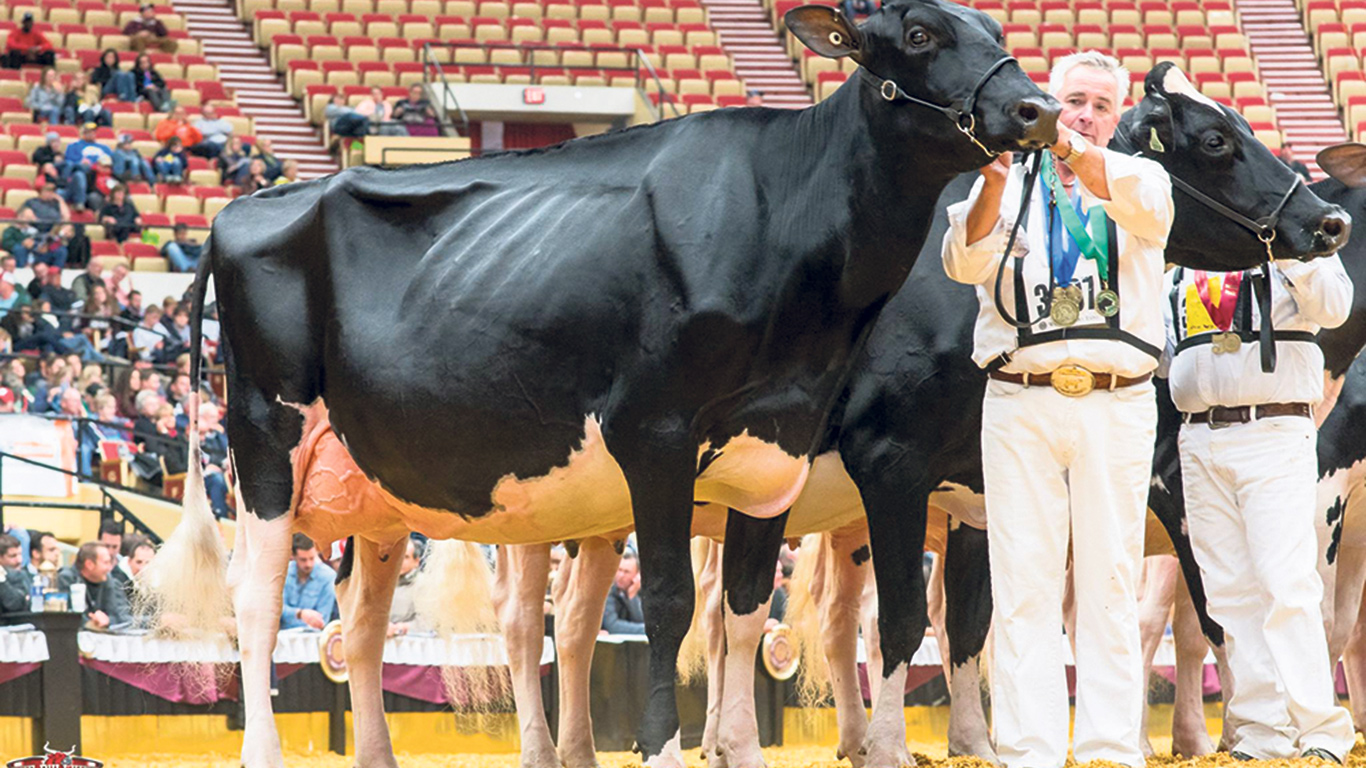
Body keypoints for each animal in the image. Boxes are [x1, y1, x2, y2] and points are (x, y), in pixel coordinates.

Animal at [135, 3, 1062, 767]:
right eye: (920, 34)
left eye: (995, 29)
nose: (1038, 109)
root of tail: (247, 206)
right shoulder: (705, 441)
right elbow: (686, 607)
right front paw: (668, 749)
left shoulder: (777, 456)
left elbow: (752, 613)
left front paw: (742, 749)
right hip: (265, 439)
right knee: (259, 603)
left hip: (387, 489)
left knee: (373, 623)